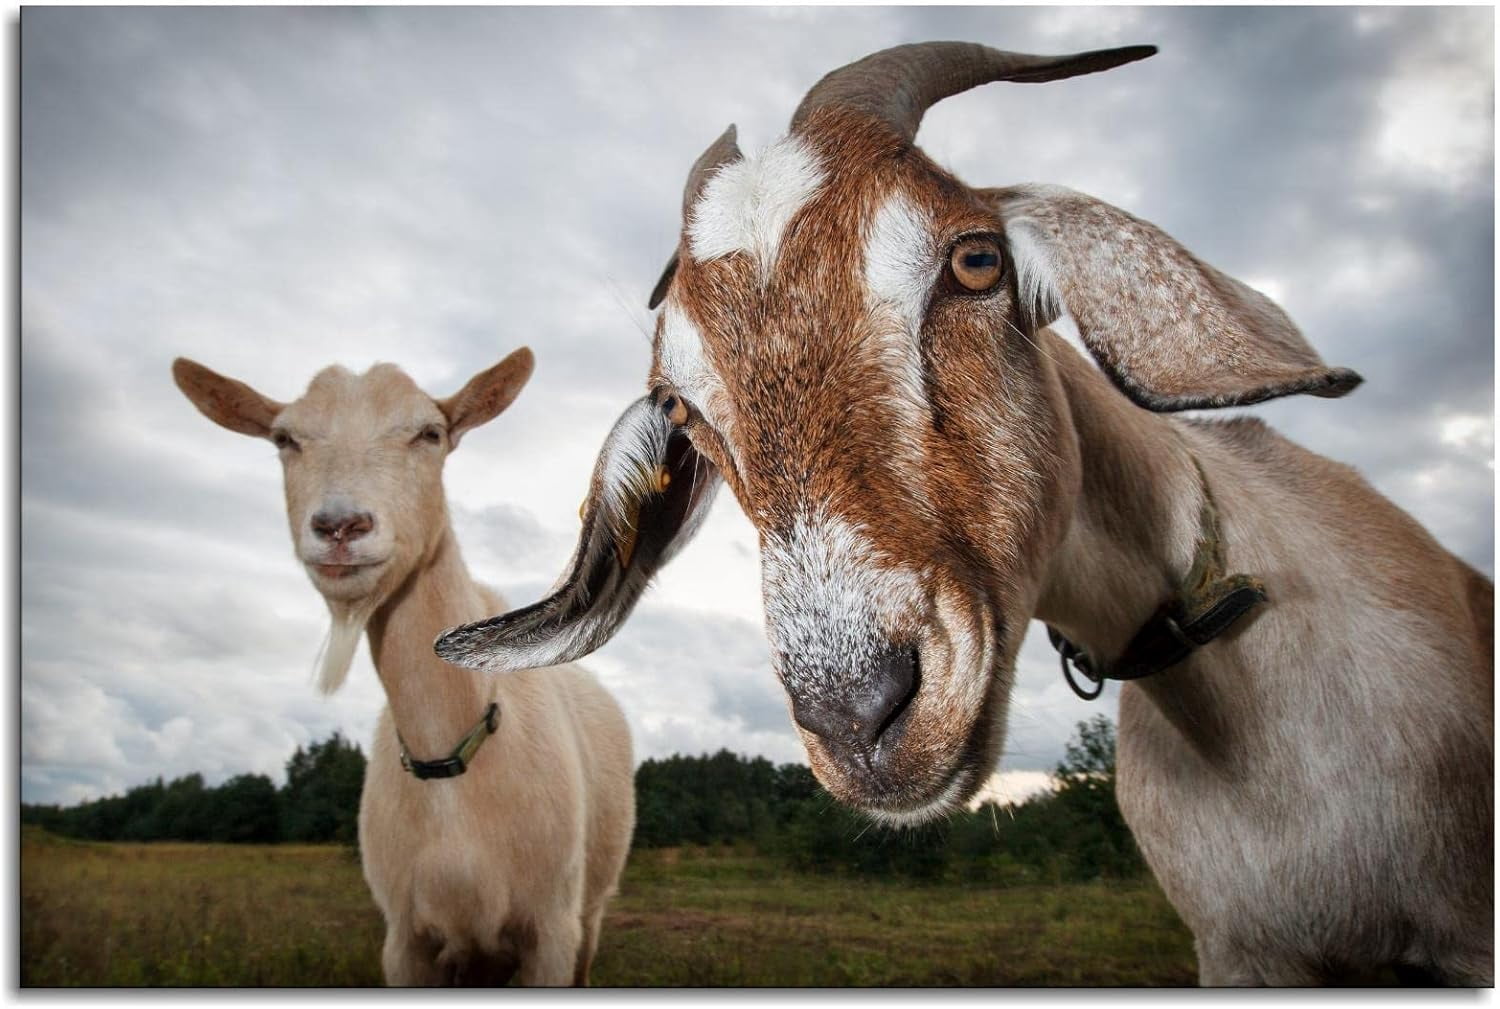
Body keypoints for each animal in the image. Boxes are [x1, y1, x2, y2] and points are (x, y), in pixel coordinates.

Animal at [172, 350, 635, 986]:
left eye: (430, 433)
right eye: (284, 439)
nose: (340, 526)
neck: (450, 757)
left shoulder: (552, 932)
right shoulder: (405, 940)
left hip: (592, 909)